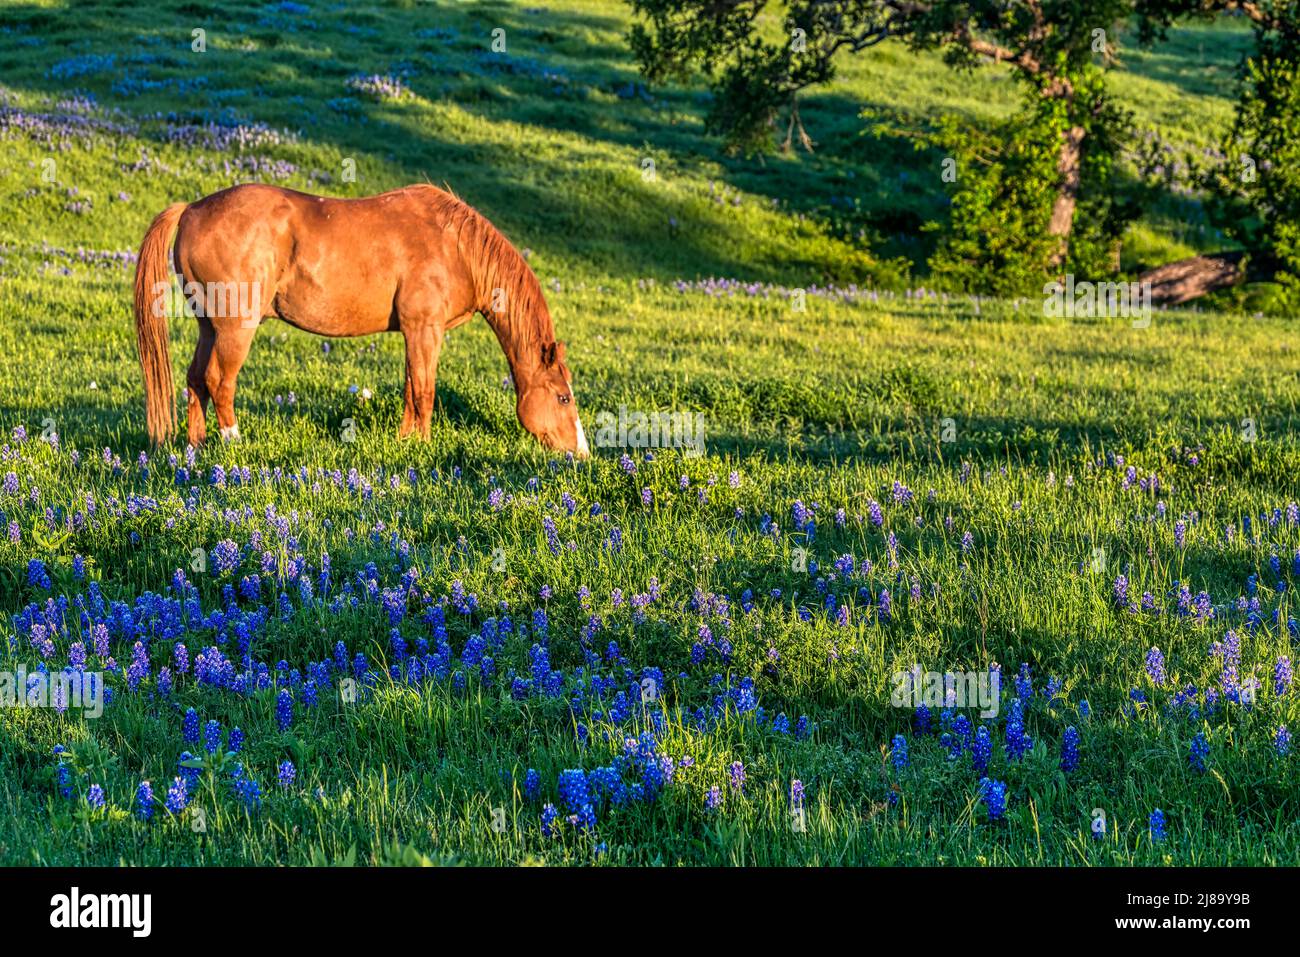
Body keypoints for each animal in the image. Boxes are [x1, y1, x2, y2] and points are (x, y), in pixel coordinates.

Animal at [132, 182, 589, 456]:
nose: (582, 453)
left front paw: (405, 441)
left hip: (208, 327)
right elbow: (425, 392)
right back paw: (233, 442)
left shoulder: (415, 333)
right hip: (234, 329)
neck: (455, 246)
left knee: (195, 381)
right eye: (563, 398)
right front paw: (423, 446)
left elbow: (410, 389)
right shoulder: (425, 329)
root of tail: (192, 209)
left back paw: (196, 447)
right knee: (218, 382)